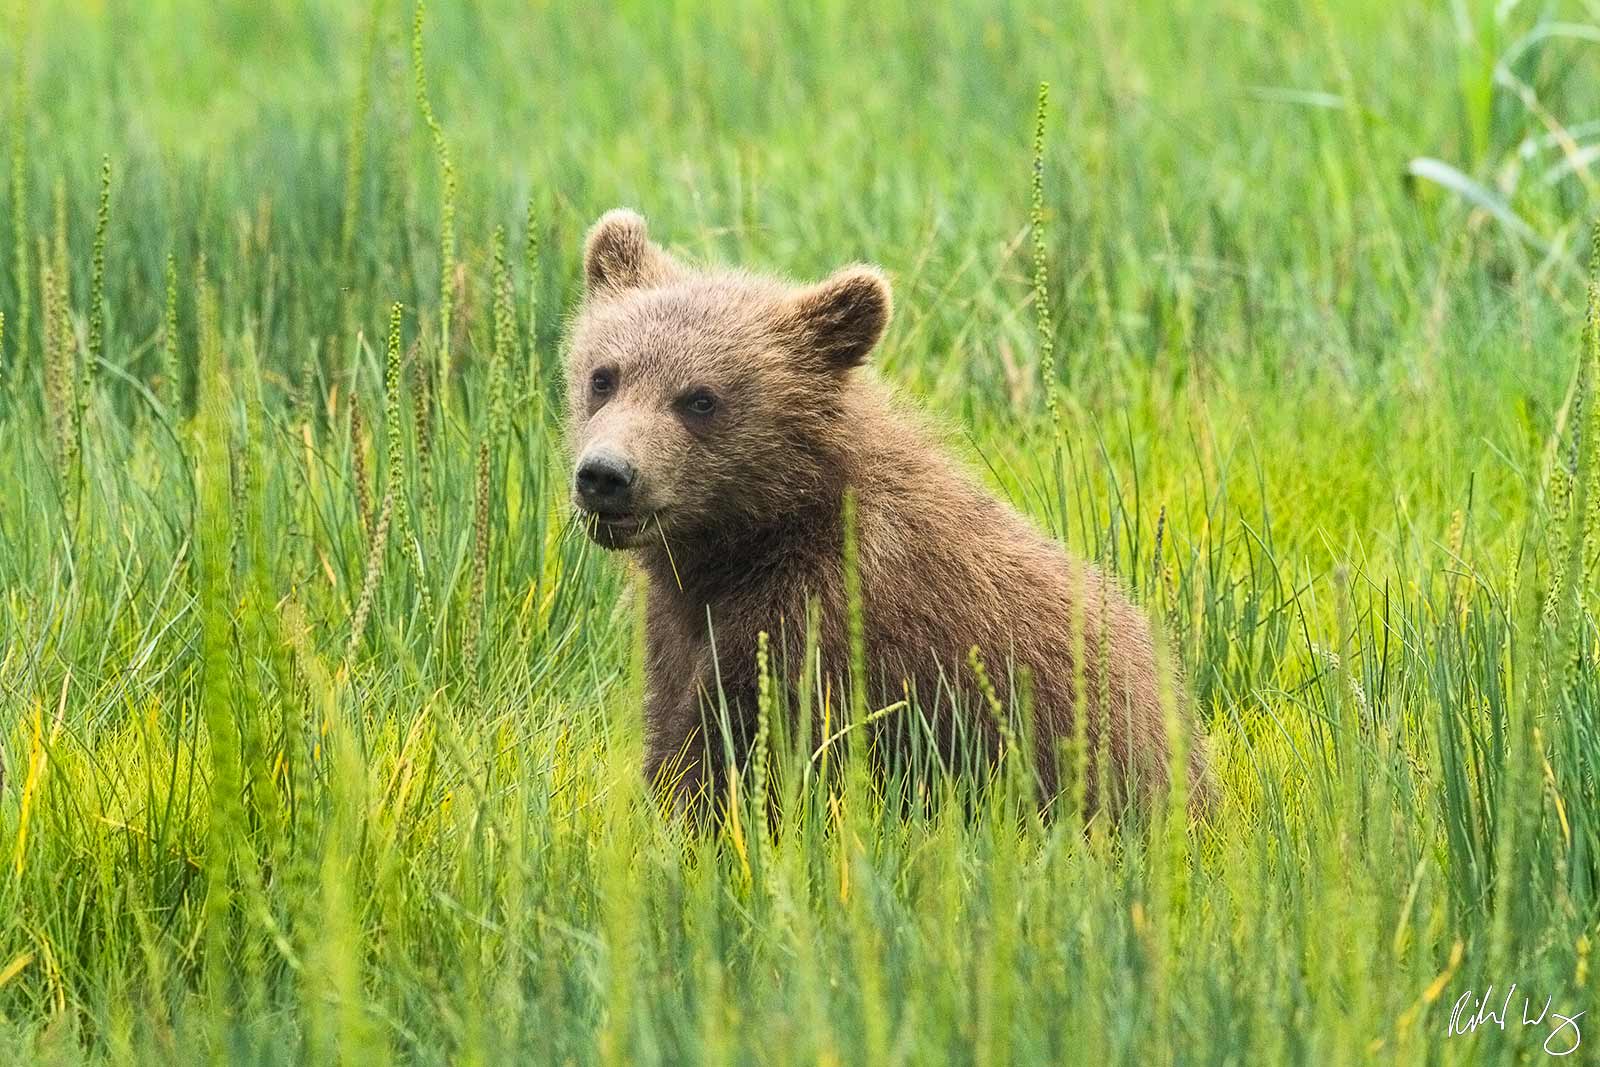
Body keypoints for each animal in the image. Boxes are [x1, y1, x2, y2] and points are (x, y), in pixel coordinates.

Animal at [565, 208, 1213, 820]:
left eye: (701, 399)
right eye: (604, 376)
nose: (606, 475)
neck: (751, 540)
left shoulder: (821, 622)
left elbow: (745, 751)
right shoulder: (677, 627)